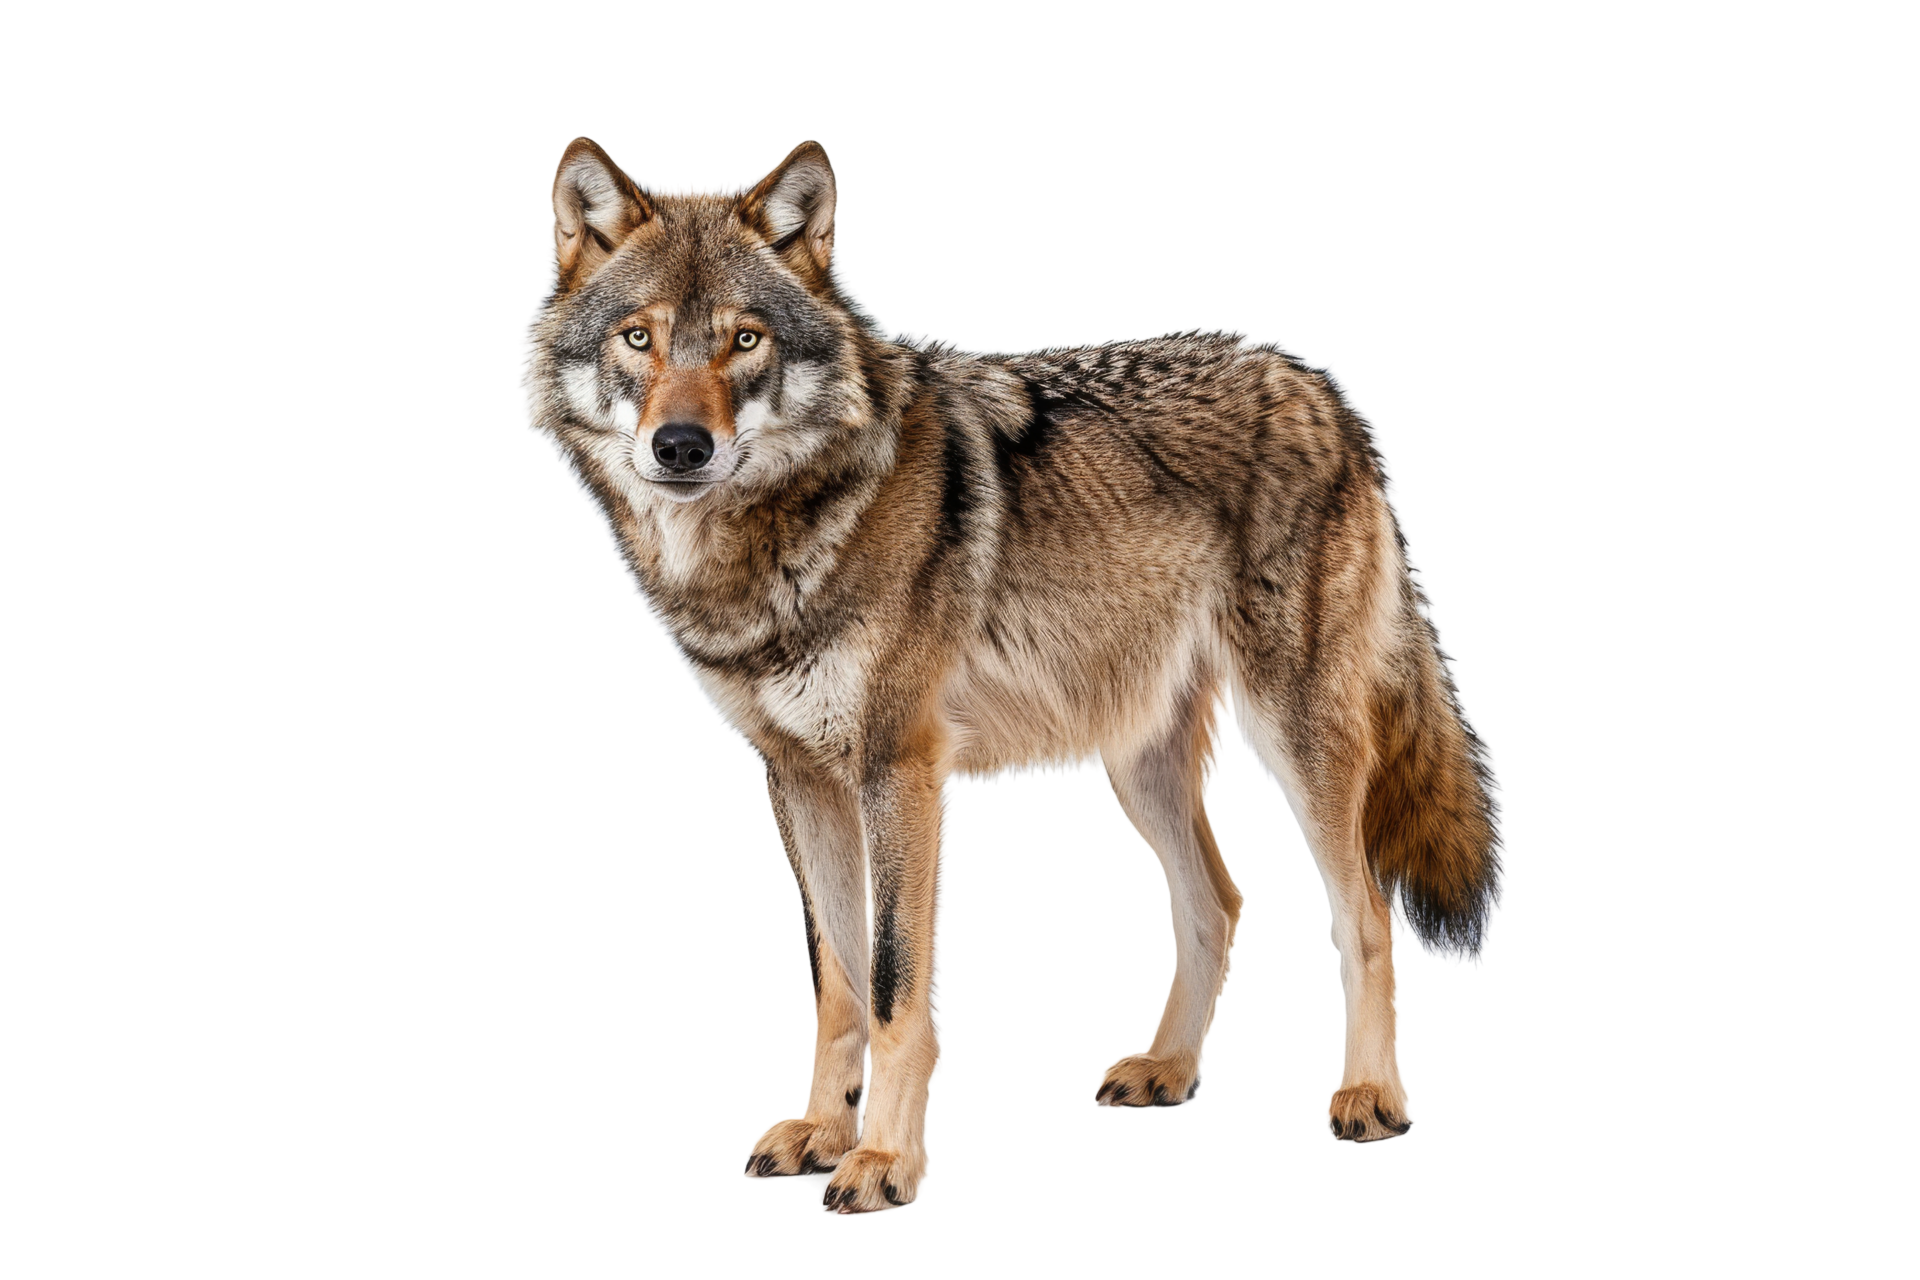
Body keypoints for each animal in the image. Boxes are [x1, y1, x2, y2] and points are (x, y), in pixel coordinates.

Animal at [518, 136, 1508, 1216]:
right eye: (639, 338)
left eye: (743, 340)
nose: (681, 446)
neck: (779, 542)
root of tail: (1317, 382)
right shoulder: (796, 780)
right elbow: (836, 981)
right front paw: (823, 1130)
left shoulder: (901, 775)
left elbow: (896, 983)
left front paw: (885, 1159)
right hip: (1138, 769)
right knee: (1221, 900)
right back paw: (1168, 1068)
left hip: (1296, 741)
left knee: (1363, 915)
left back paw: (1369, 1095)